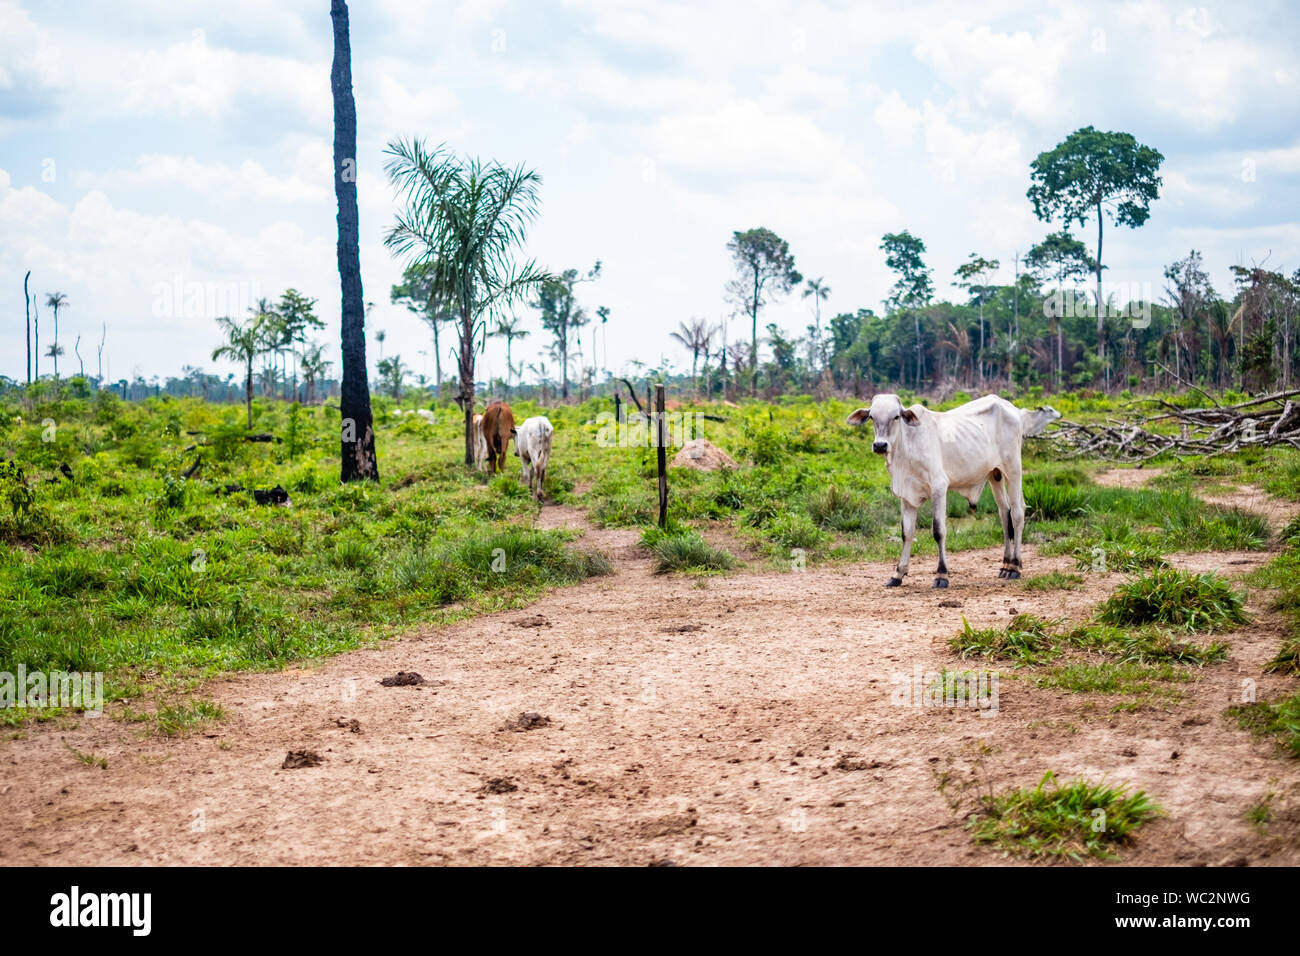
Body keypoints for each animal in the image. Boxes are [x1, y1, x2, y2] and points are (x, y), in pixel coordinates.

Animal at [846, 394, 1060, 588]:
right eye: (872, 417)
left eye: (896, 416)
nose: (880, 445)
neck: (907, 447)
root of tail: (1009, 407)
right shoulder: (907, 497)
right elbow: (906, 533)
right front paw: (898, 574)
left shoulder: (939, 488)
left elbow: (938, 531)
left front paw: (942, 575)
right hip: (995, 474)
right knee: (1004, 513)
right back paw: (1005, 565)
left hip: (1013, 469)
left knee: (1017, 513)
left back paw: (1015, 566)